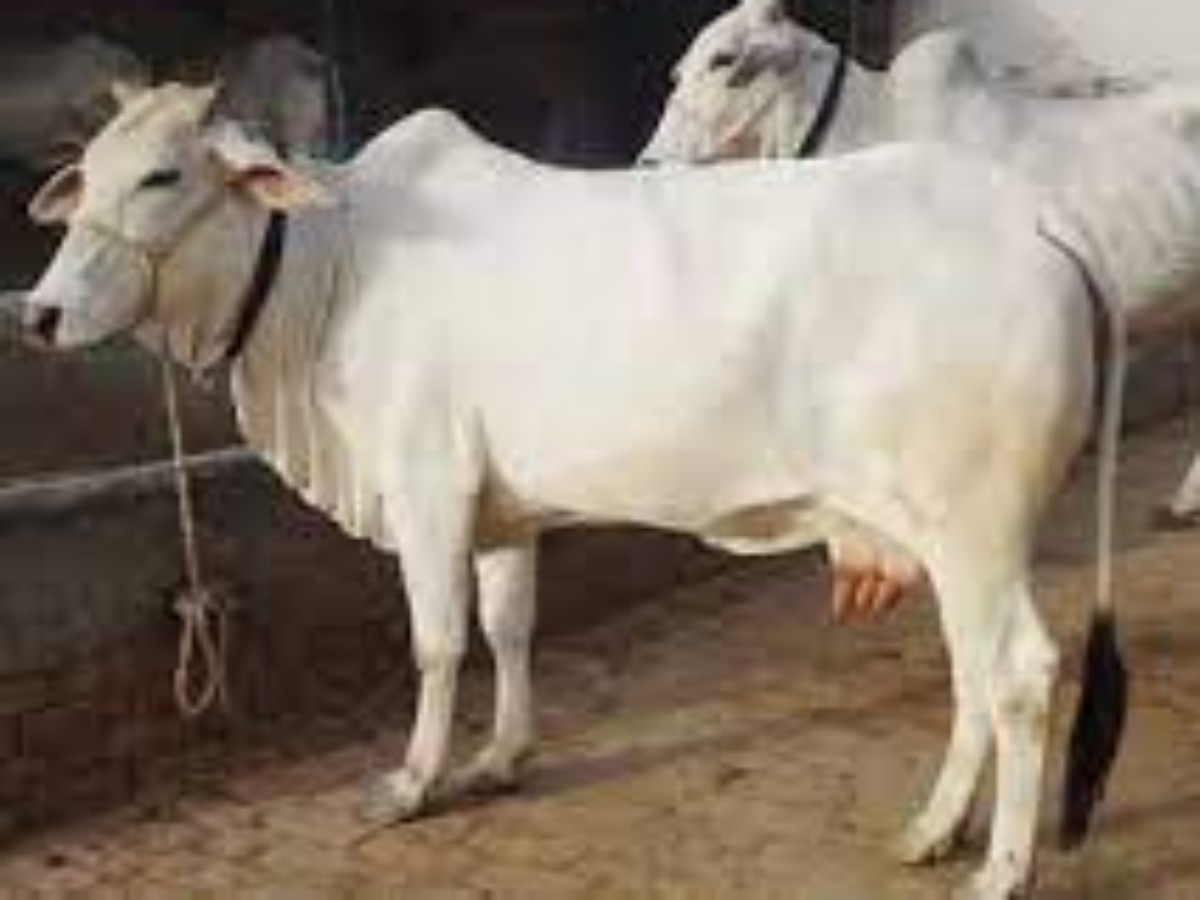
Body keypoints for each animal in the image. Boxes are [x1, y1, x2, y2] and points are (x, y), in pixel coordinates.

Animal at [20, 83, 1127, 900]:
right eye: (86, 179)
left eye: (163, 174)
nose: (39, 313)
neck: (336, 268)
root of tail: (1034, 212)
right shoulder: (502, 507)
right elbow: (510, 627)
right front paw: (499, 758)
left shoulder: (427, 484)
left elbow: (437, 643)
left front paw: (412, 782)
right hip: (950, 541)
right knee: (974, 672)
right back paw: (934, 829)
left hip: (976, 525)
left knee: (1020, 673)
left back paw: (999, 870)